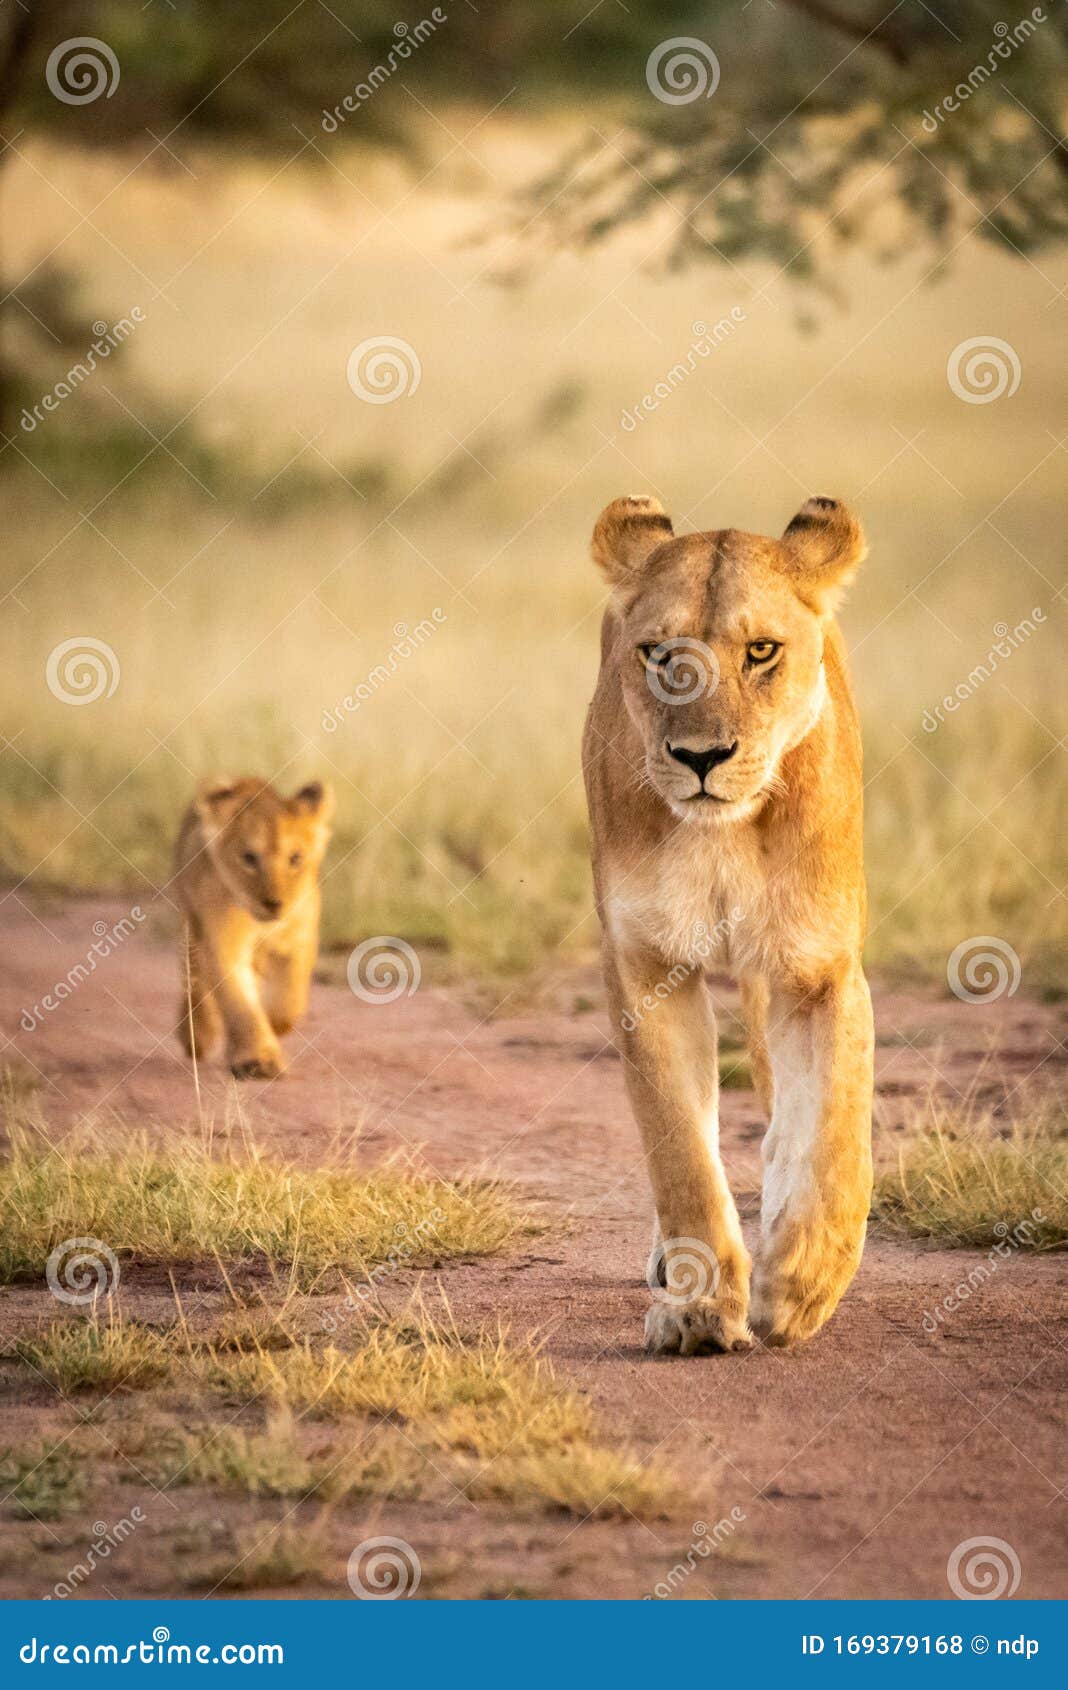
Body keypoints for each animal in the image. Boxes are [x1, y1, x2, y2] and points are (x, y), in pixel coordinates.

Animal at [173, 776, 334, 1079]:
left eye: (296, 858)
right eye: (249, 858)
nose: (274, 904)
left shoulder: (299, 940)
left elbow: (290, 999)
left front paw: (274, 1023)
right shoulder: (222, 944)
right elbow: (239, 1004)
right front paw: (258, 1060)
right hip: (191, 920)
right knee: (195, 981)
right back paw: (198, 1036)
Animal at [583, 494, 873, 1354]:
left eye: (762, 651)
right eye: (659, 654)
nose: (700, 756)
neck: (725, 834)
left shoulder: (821, 968)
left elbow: (837, 1132)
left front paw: (802, 1284)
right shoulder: (643, 964)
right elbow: (679, 1145)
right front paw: (701, 1307)